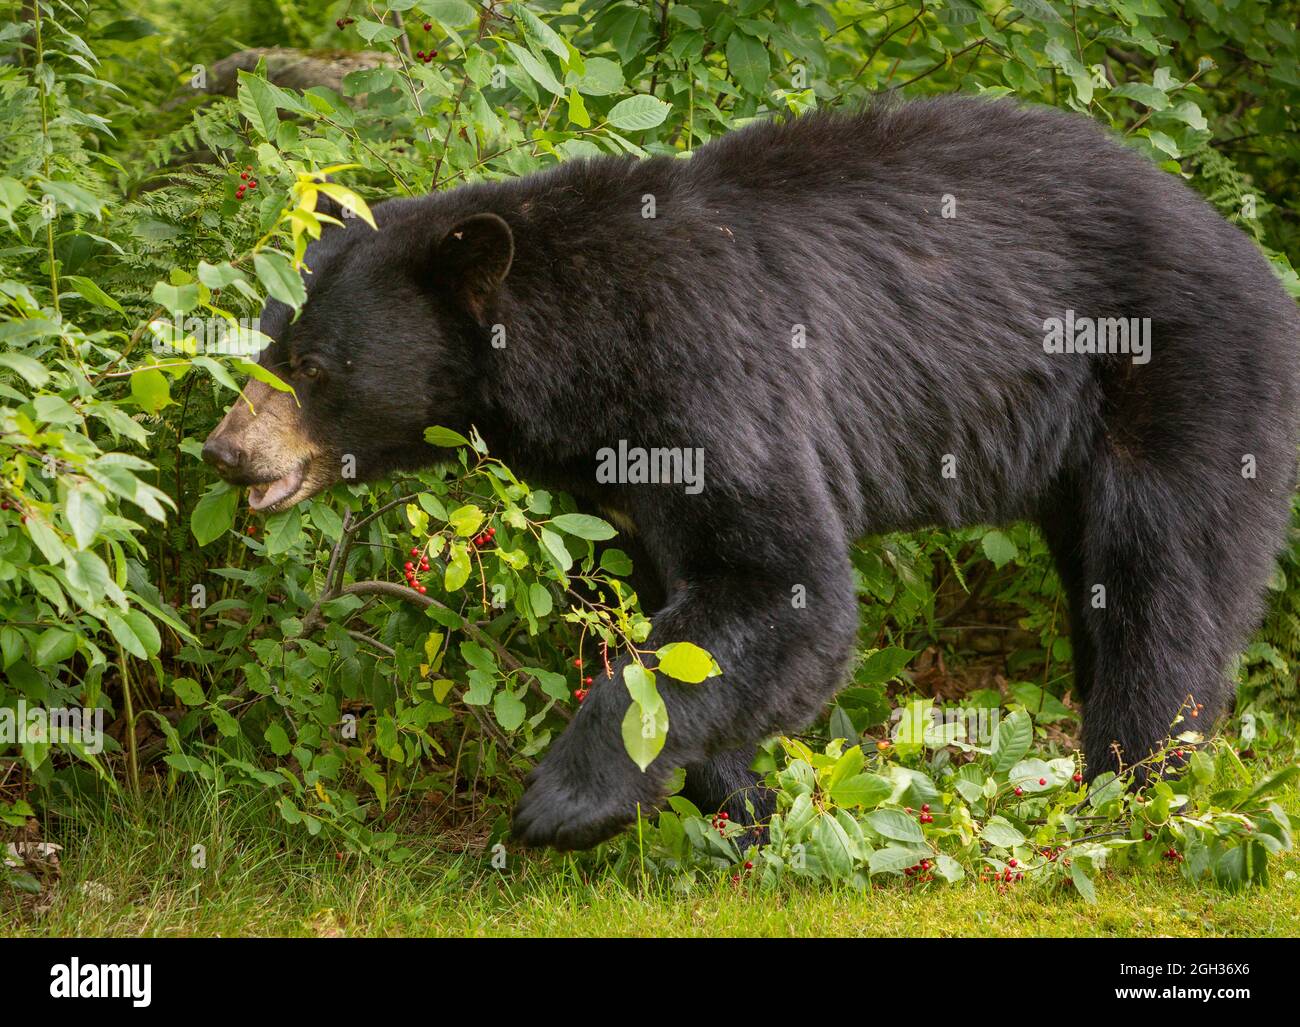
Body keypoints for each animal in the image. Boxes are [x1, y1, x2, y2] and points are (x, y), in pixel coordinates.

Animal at [202, 97, 1300, 851]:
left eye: (315, 368)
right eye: (265, 342)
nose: (227, 450)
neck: (581, 345)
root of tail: (1257, 260)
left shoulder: (714, 373)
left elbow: (783, 583)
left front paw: (562, 803)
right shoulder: (626, 477)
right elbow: (694, 622)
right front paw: (744, 805)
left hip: (1184, 377)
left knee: (1166, 584)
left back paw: (1128, 787)